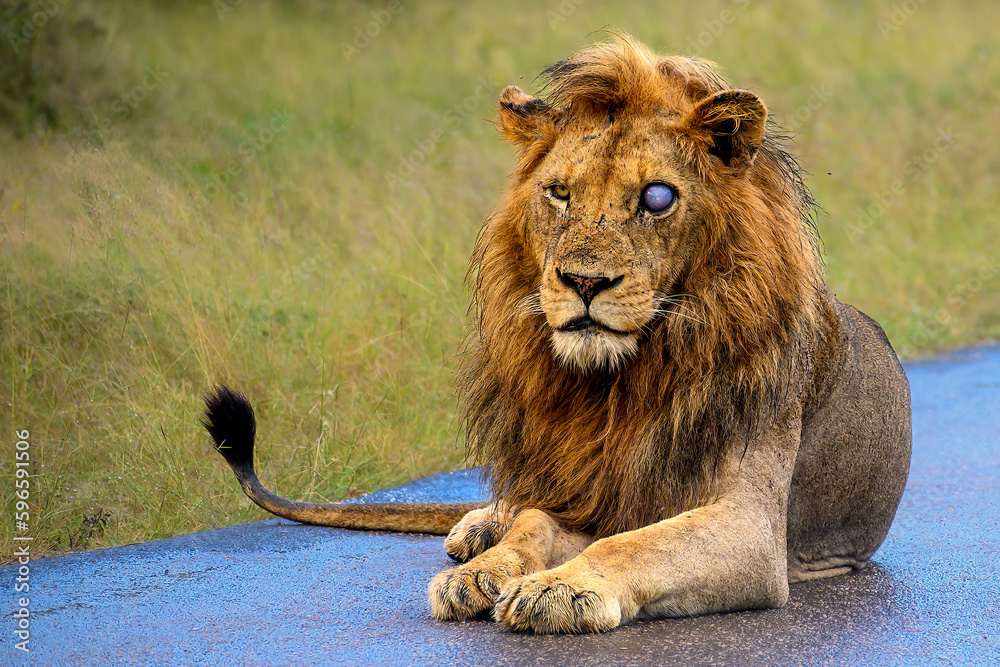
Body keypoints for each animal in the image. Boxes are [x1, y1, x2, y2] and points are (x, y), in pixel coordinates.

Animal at [204, 33, 911, 634]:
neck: (618, 383)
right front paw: (483, 574)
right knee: (515, 501)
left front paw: (559, 588)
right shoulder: (590, 492)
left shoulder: (751, 529)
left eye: (657, 198)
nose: (583, 281)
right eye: (559, 193)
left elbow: (636, 544)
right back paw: (476, 531)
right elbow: (537, 524)